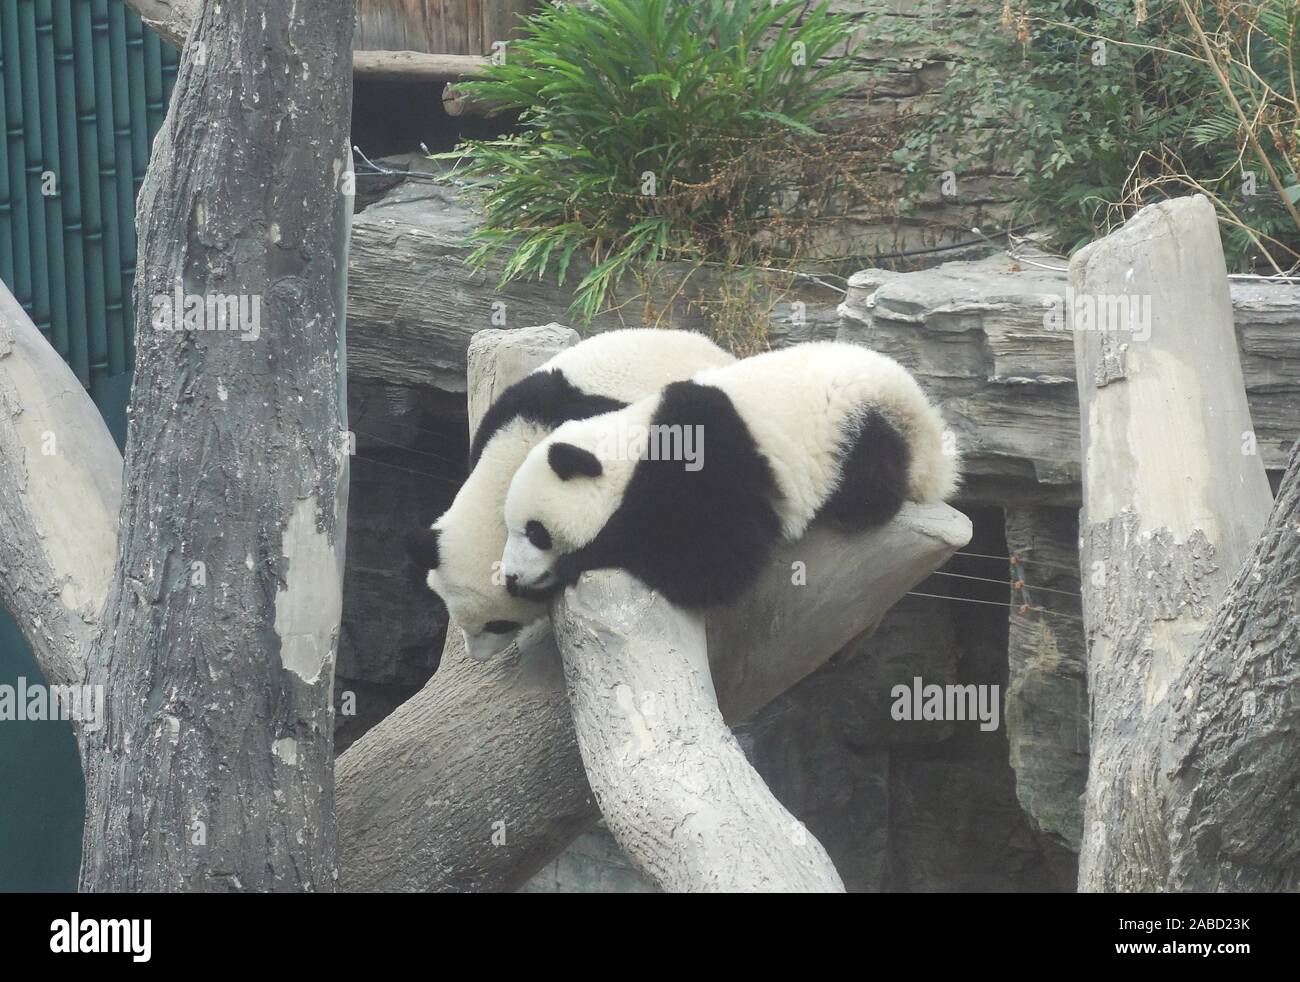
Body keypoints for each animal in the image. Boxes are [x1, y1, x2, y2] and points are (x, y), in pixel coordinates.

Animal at [499, 341, 958, 609]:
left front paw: (580, 559)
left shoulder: (710, 465)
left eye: (535, 532)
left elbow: (709, 561)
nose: (511, 578)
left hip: (860, 421)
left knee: (871, 476)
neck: (631, 444)